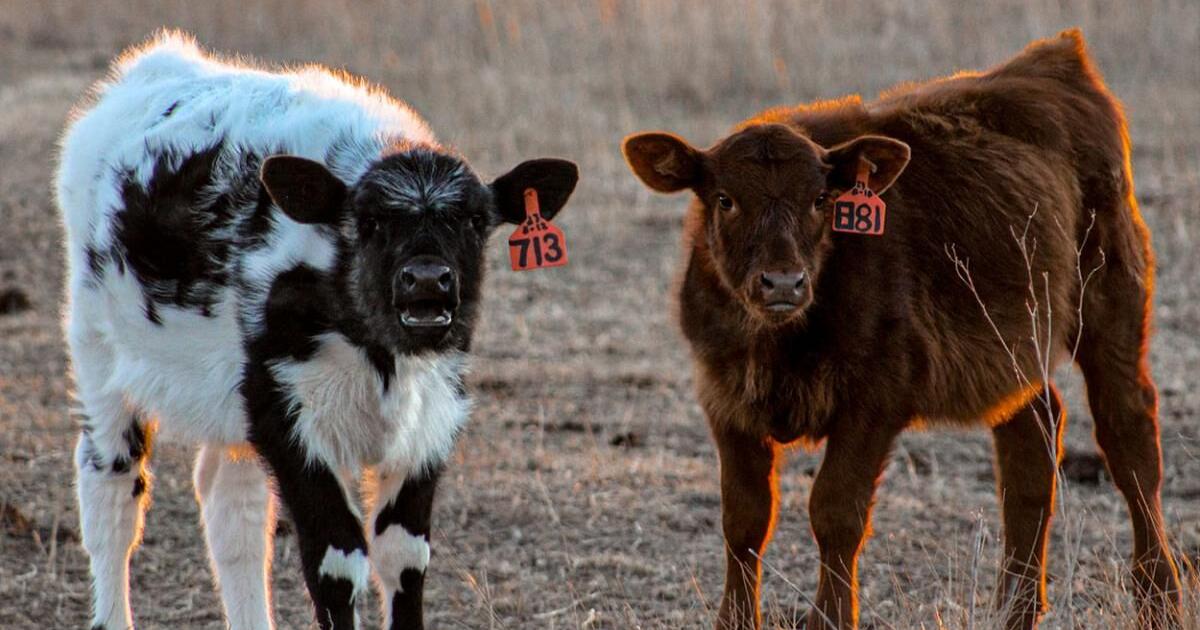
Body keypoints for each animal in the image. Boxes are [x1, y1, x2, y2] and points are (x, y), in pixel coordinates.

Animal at [56, 32, 577, 630]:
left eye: (473, 221)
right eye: (369, 222)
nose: (427, 281)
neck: (382, 356)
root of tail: (155, 62)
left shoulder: (432, 420)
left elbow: (405, 555)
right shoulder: (286, 418)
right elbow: (336, 560)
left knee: (232, 510)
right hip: (98, 355)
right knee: (111, 496)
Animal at [622, 30, 1181, 630]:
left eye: (820, 199)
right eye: (725, 199)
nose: (782, 283)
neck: (778, 344)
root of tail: (1055, 59)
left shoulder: (876, 399)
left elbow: (835, 511)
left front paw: (831, 617)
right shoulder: (724, 399)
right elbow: (744, 520)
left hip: (1111, 299)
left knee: (1129, 437)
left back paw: (1159, 597)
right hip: (1019, 342)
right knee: (1033, 434)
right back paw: (1016, 606)